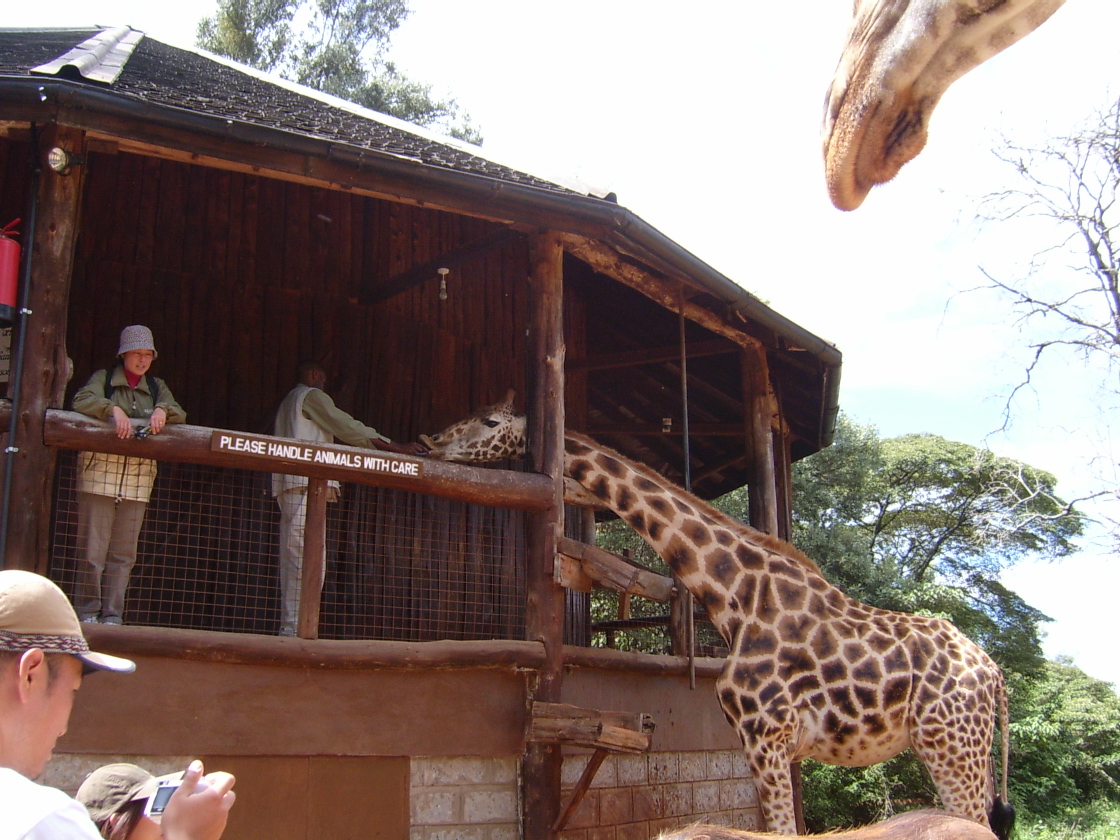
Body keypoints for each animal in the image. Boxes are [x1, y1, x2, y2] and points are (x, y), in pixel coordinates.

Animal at [421, 393, 1013, 838]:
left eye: (491, 421)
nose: (431, 442)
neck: (736, 596)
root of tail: (994, 673)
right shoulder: (773, 745)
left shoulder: (766, 735)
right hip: (964, 751)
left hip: (950, 744)